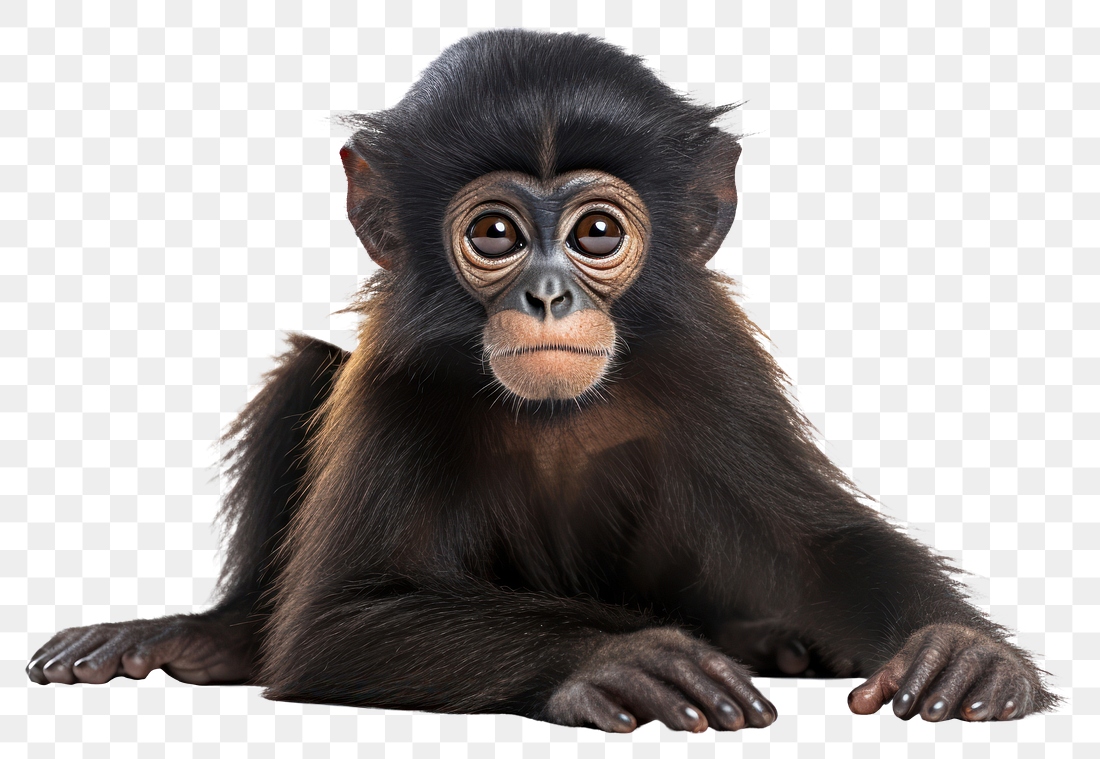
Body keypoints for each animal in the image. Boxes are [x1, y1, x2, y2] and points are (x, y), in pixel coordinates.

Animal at [26, 30, 1057, 732]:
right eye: (496, 233)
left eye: (597, 231)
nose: (550, 293)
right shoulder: (394, 382)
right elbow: (335, 621)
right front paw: (622, 652)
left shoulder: (717, 366)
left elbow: (822, 546)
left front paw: (962, 649)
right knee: (308, 365)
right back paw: (208, 635)